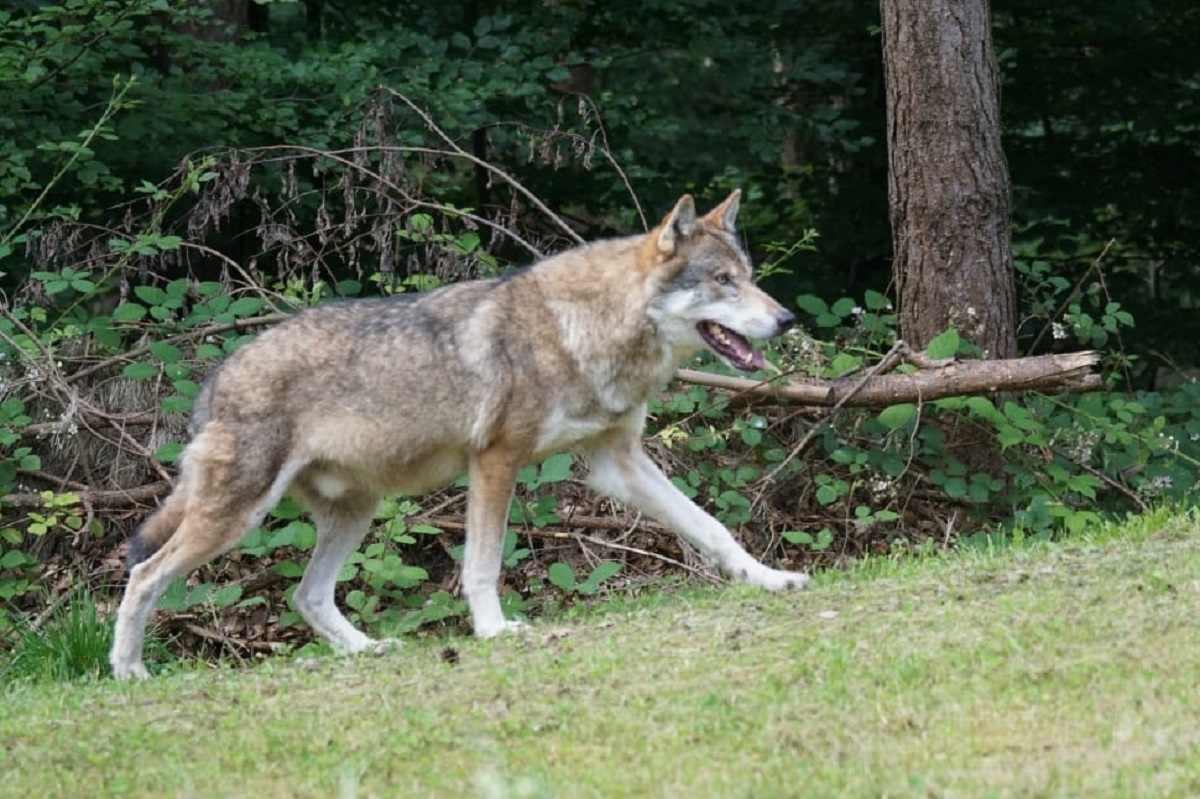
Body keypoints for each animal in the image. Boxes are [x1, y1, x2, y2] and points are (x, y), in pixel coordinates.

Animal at [109, 190, 809, 679]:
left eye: (748, 275)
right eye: (723, 281)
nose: (786, 319)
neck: (584, 328)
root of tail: (217, 375)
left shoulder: (619, 463)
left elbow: (712, 528)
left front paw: (769, 580)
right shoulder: (496, 461)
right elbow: (483, 566)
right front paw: (494, 631)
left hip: (354, 511)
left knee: (306, 596)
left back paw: (369, 650)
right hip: (237, 518)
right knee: (144, 576)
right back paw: (130, 671)